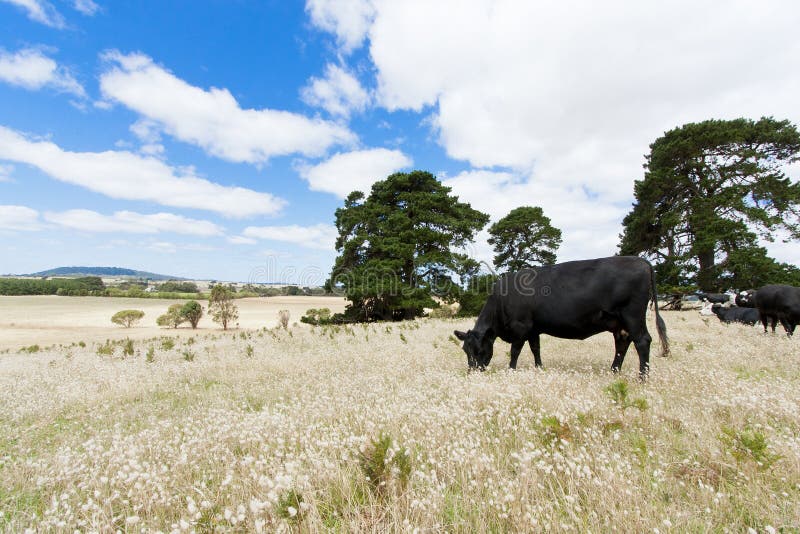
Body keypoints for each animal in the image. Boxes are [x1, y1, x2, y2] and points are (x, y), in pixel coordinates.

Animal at [454, 256, 669, 379]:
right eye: (465, 350)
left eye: (478, 350)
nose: (473, 372)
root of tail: (641, 261)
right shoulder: (533, 329)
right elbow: (536, 349)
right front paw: (540, 369)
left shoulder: (521, 327)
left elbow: (515, 351)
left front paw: (511, 371)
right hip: (619, 323)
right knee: (622, 344)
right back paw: (613, 372)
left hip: (632, 316)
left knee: (642, 342)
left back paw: (642, 378)